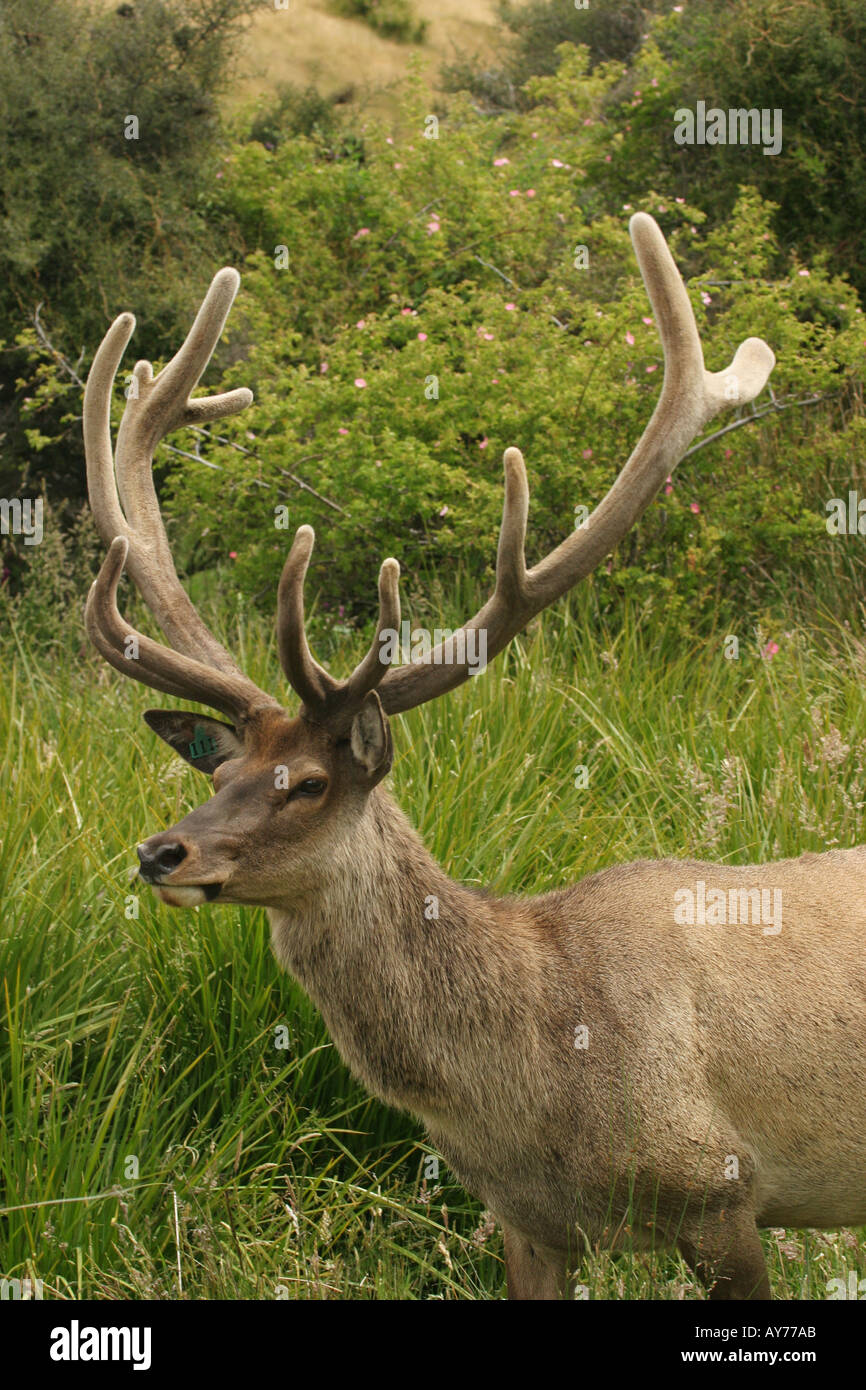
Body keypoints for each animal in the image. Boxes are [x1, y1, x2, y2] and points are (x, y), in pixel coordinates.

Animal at [81, 213, 866, 1302]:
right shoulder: (523, 1221)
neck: (529, 1083)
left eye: (309, 782)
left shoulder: (720, 1186)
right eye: (218, 773)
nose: (161, 853)